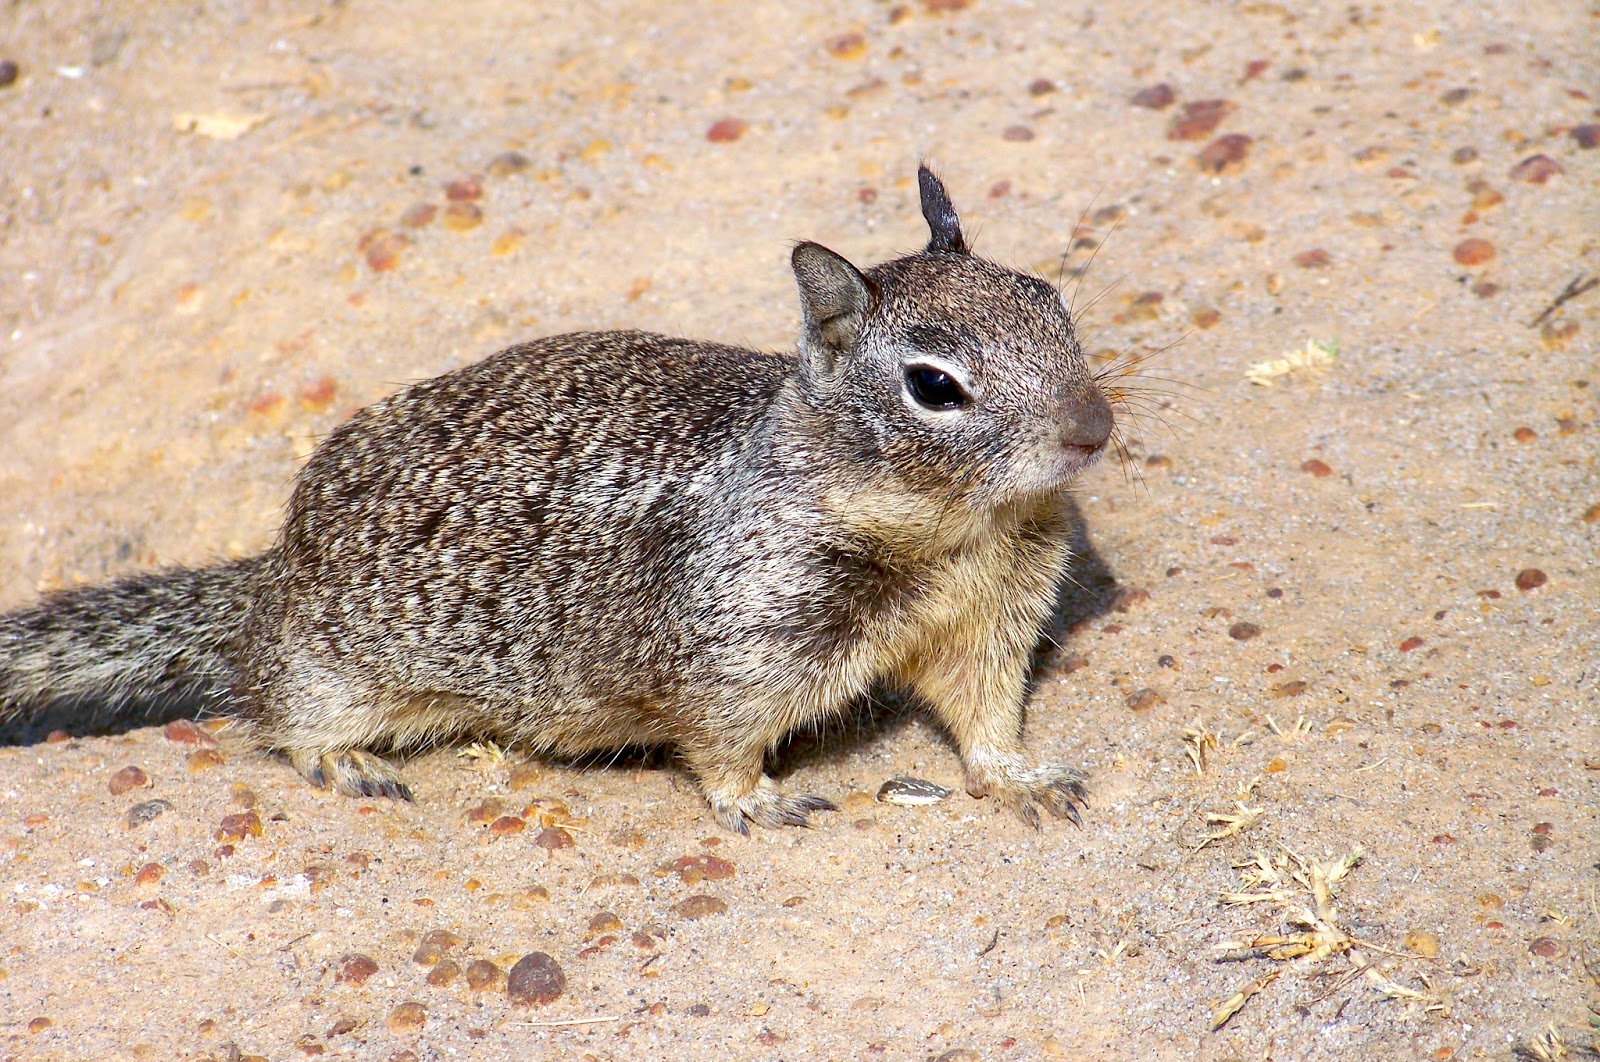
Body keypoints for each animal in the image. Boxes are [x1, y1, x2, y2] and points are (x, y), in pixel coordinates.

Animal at [0, 166, 1114, 833]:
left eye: (1049, 297)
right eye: (933, 385)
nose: (1093, 429)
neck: (949, 532)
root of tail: (269, 569)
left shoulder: (991, 616)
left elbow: (986, 713)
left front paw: (1022, 779)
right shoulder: (742, 642)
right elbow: (719, 739)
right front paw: (757, 803)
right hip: (332, 667)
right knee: (278, 707)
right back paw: (347, 762)